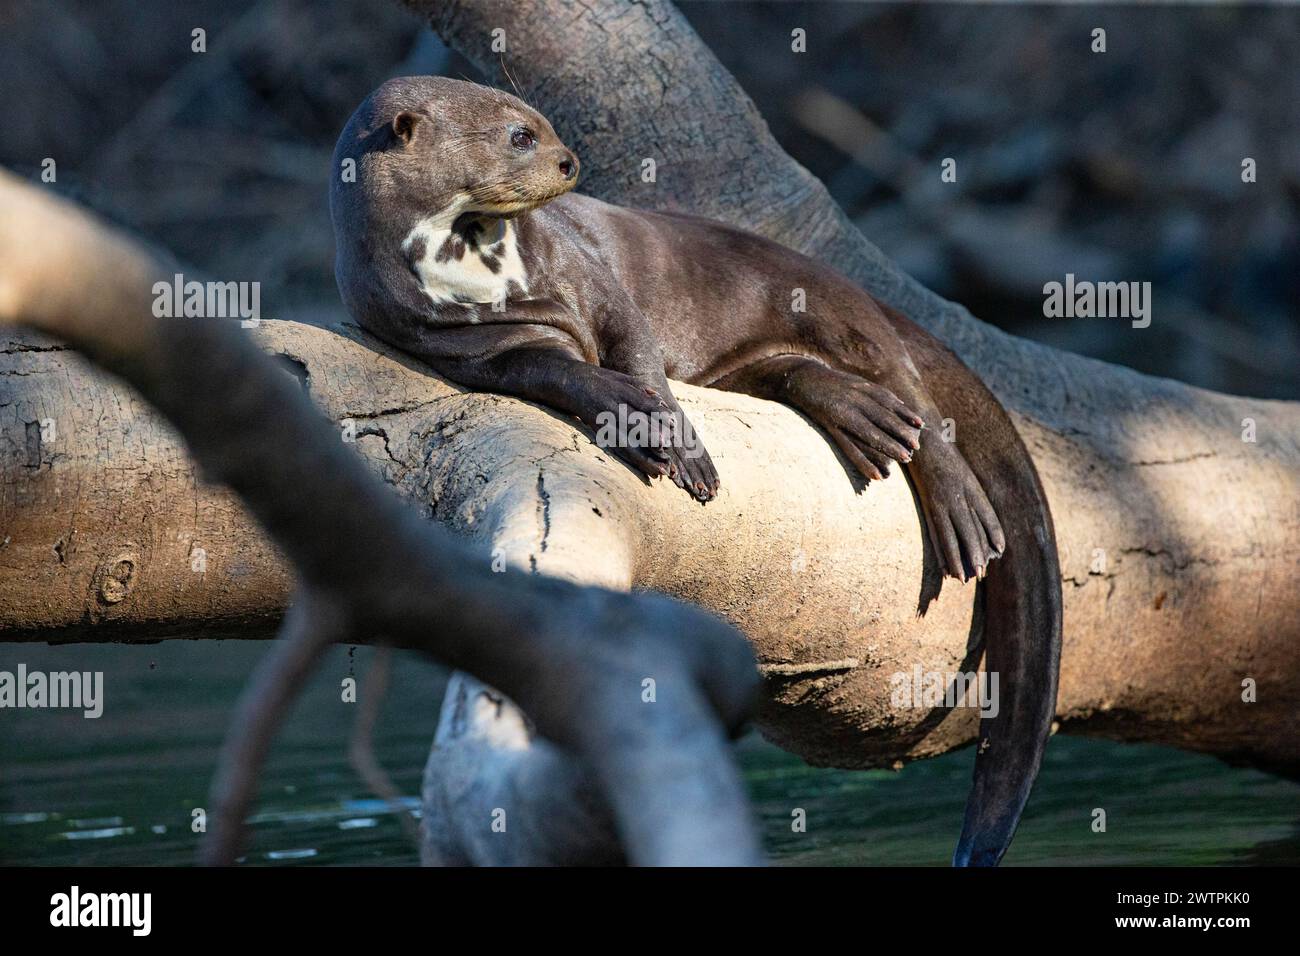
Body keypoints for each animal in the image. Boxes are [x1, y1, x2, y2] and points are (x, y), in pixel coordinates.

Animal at [330, 76, 1062, 867]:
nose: (568, 161)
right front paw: (632, 418)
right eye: (519, 136)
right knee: (803, 373)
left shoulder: (586, 271)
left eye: (541, 123)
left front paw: (682, 447)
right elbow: (559, 371)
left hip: (823, 298)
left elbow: (633, 340)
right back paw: (860, 415)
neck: (475, 279)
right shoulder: (457, 343)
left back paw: (959, 506)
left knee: (913, 393)